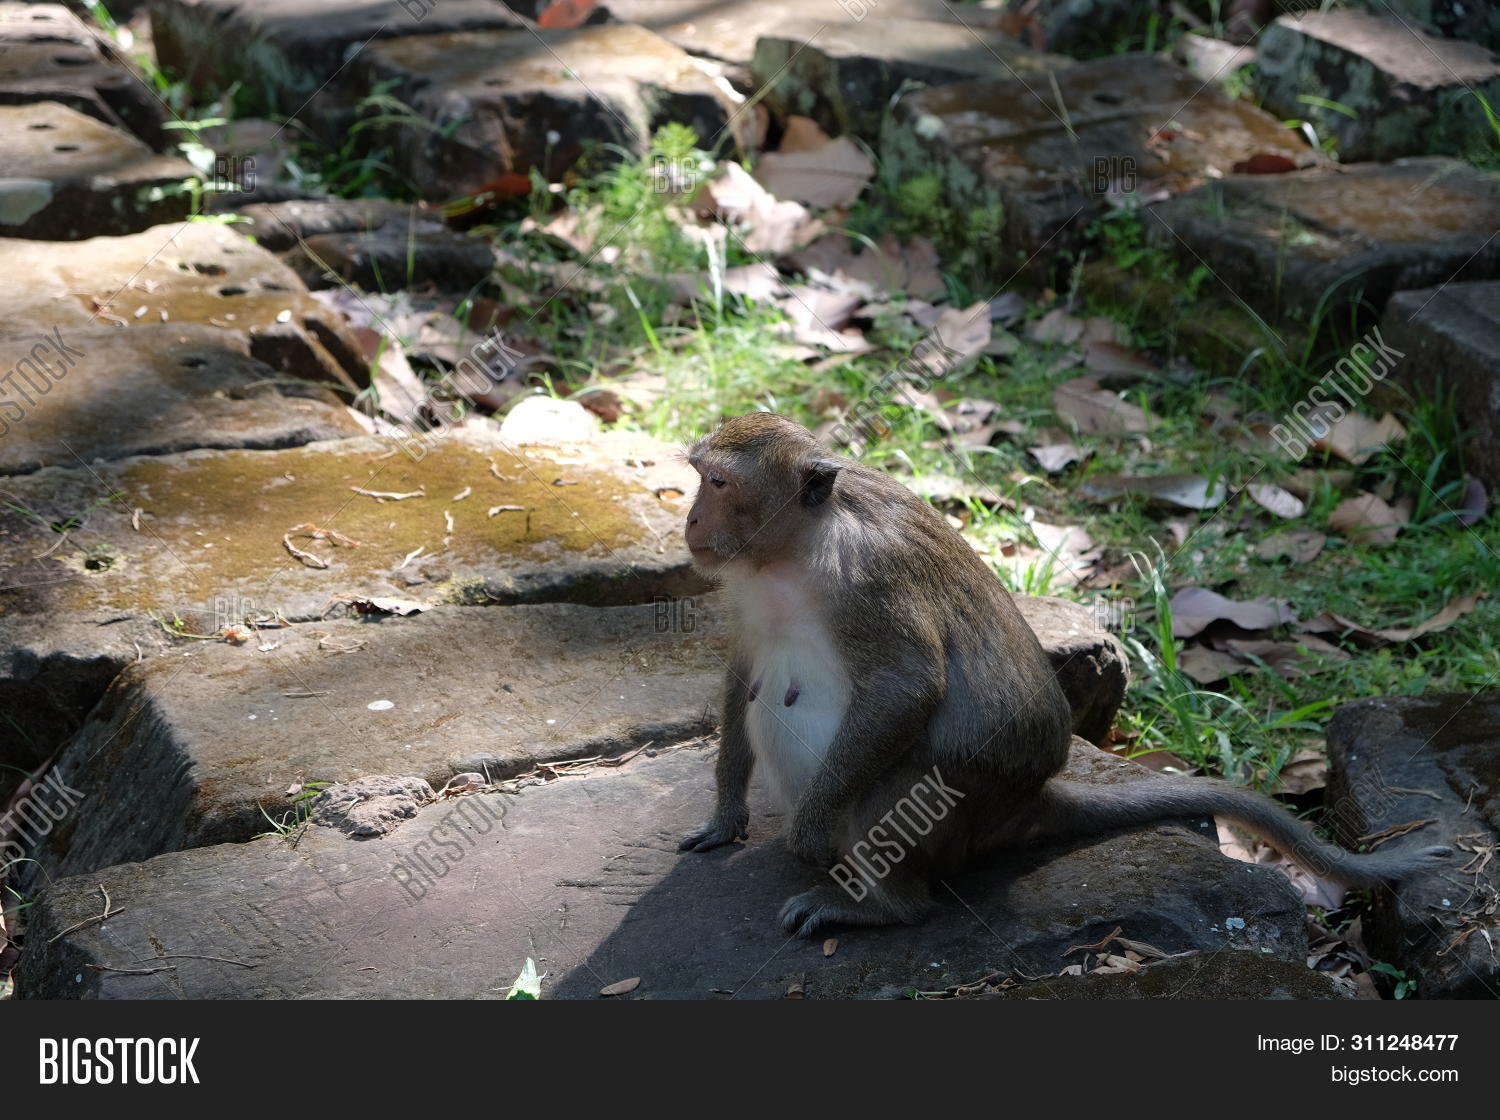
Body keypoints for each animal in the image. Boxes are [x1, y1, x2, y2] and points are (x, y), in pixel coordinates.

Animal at [677, 413, 1453, 938]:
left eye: (717, 482)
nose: (687, 522)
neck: (794, 552)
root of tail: (1030, 803)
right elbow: (742, 669)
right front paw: (725, 811)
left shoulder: (870, 581)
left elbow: (907, 687)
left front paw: (809, 835)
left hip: (970, 805)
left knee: (913, 776)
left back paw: (882, 905)